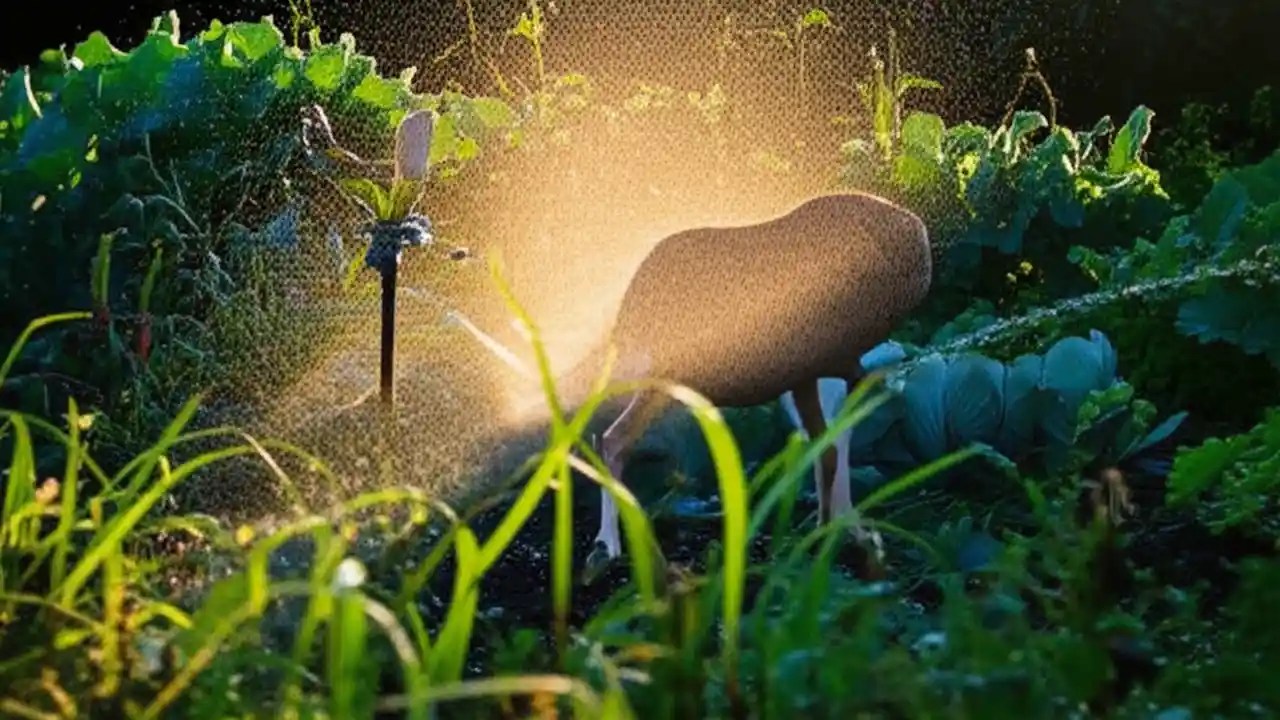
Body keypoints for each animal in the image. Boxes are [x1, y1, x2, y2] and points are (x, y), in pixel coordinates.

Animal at [449, 191, 932, 573]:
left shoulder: (816, 369)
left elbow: (829, 440)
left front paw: (837, 531)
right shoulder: (828, 365)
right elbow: (836, 435)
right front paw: (843, 536)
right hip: (679, 374)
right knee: (615, 438)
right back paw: (621, 550)